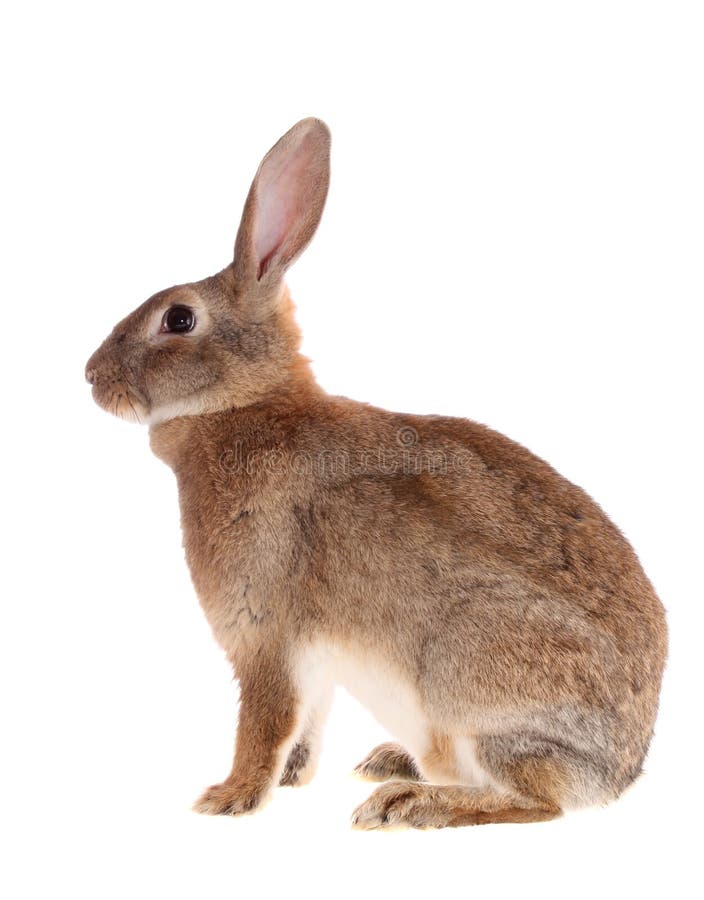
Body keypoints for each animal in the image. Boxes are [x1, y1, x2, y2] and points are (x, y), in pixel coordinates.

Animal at [85, 118, 667, 829]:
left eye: (178, 318)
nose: (91, 376)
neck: (245, 406)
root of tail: (618, 772)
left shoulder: (267, 637)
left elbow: (264, 722)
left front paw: (229, 797)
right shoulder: (311, 663)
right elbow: (307, 720)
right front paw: (292, 780)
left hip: (464, 681)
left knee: (537, 800)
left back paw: (410, 801)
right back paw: (391, 765)